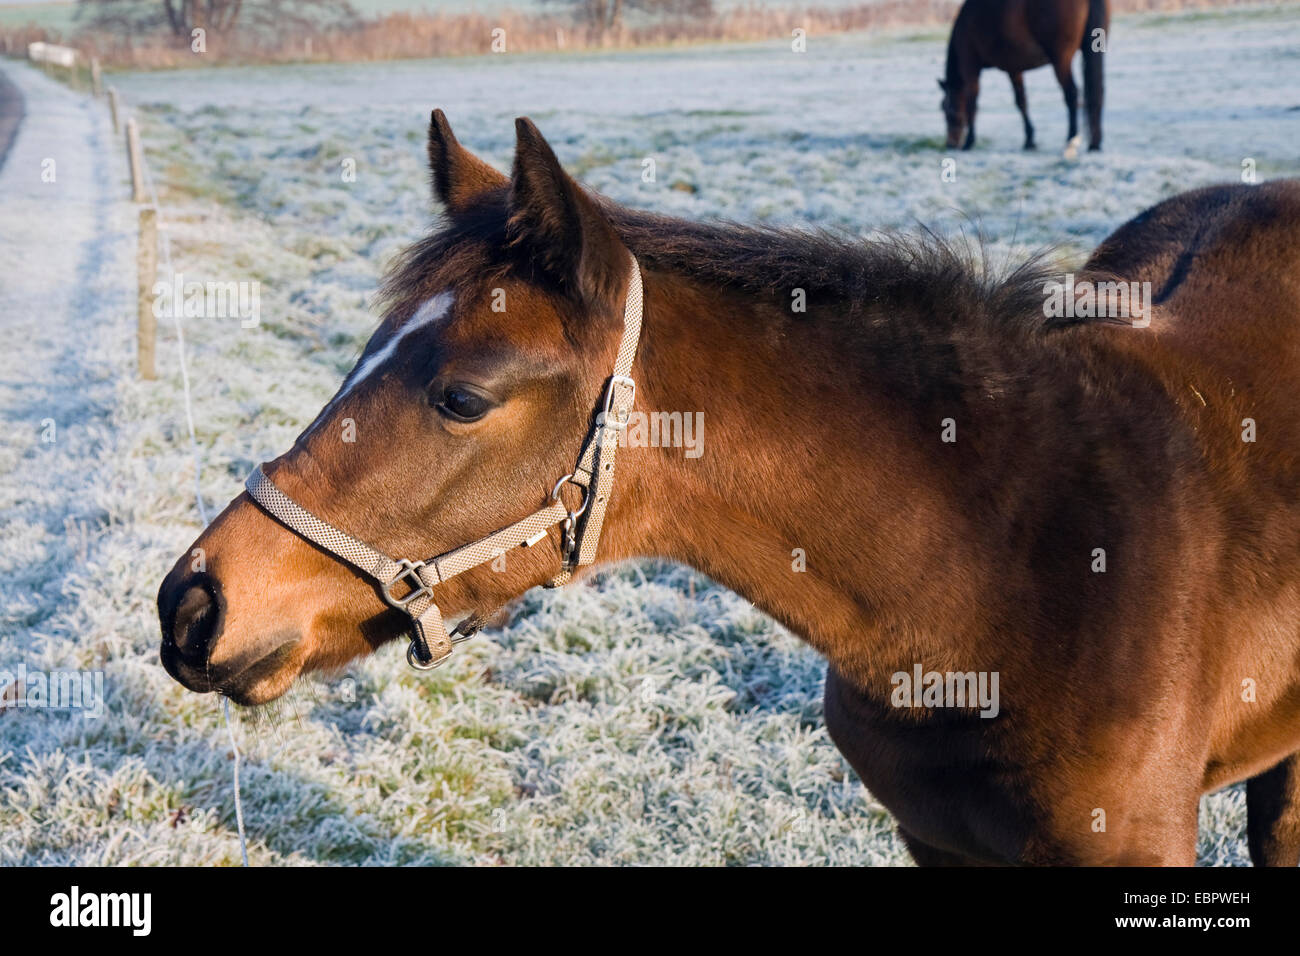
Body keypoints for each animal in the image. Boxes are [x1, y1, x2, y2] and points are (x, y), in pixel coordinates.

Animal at [939, 0, 1109, 156]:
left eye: (945, 109)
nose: (950, 144)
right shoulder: (1014, 69)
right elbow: (1021, 102)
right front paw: (1029, 140)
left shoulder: (970, 66)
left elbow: (972, 104)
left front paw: (969, 141)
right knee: (1096, 93)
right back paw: (1094, 143)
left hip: (1061, 60)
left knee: (1071, 94)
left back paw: (1071, 140)